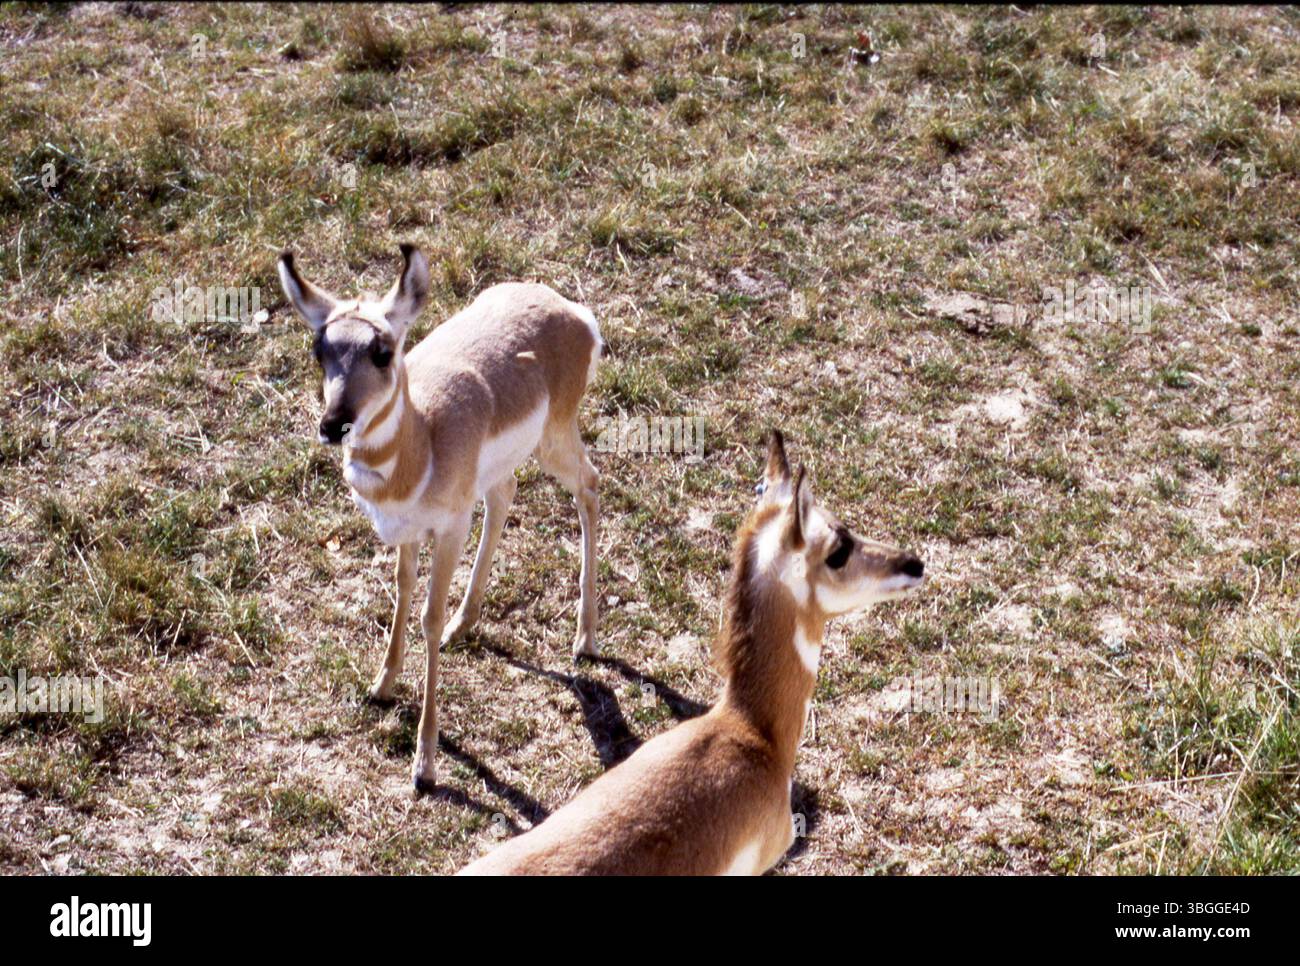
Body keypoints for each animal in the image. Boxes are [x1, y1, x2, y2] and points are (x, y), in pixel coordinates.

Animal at [277, 244, 603, 792]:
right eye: (319, 349)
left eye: (382, 351)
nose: (333, 424)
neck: (422, 439)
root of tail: (570, 310)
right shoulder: (407, 533)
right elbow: (403, 588)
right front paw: (381, 685)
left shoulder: (449, 531)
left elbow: (427, 616)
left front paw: (425, 765)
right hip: (506, 470)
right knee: (507, 495)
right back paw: (463, 625)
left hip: (554, 444)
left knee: (591, 486)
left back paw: (584, 641)